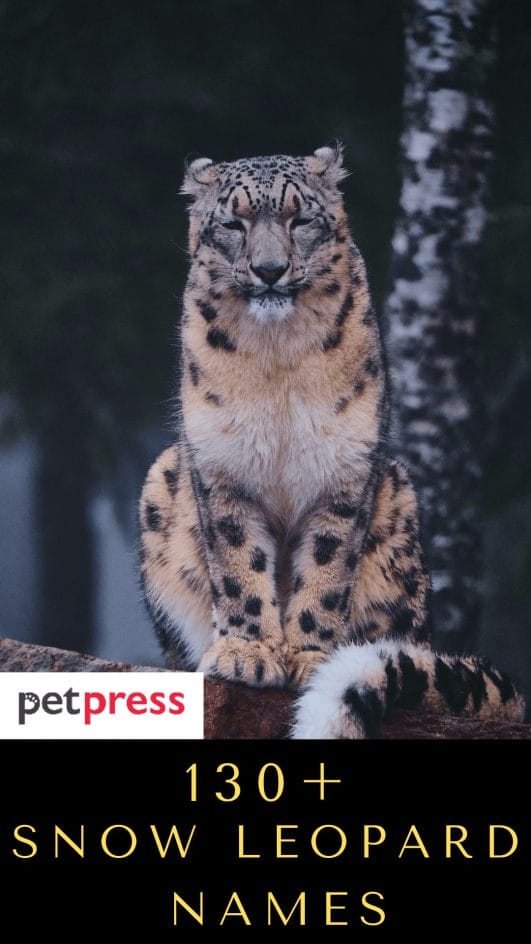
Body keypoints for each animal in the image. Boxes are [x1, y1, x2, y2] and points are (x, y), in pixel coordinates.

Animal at [138, 142, 524, 738]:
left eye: (300, 219)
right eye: (233, 222)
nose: (269, 270)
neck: (275, 358)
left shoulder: (344, 471)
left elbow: (326, 567)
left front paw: (310, 659)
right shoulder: (222, 467)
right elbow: (236, 561)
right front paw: (247, 653)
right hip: (162, 481)